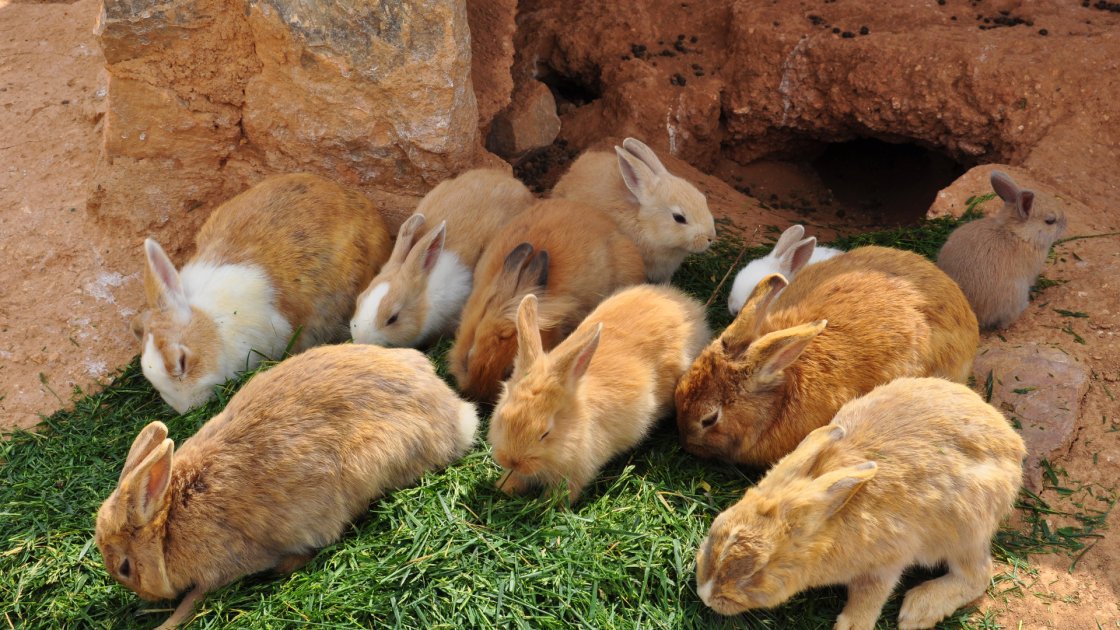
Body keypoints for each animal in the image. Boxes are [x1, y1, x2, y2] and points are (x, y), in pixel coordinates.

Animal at [95, 343, 479, 629]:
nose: (145, 597)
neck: (169, 521)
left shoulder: (224, 568)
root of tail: (457, 414)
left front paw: (166, 621)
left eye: (125, 568)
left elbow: (193, 600)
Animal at [488, 285, 710, 503]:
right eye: (502, 419)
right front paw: (505, 487)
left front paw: (550, 504)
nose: (512, 461)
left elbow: (564, 492)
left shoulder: (576, 472)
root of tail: (689, 307)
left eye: (545, 433)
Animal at [695, 377, 1025, 630]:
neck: (828, 524)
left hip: (963, 530)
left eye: (757, 571)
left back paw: (917, 611)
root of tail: (1013, 447)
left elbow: (870, 594)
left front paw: (852, 625)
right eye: (715, 528)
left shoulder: (886, 562)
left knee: (978, 574)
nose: (705, 595)